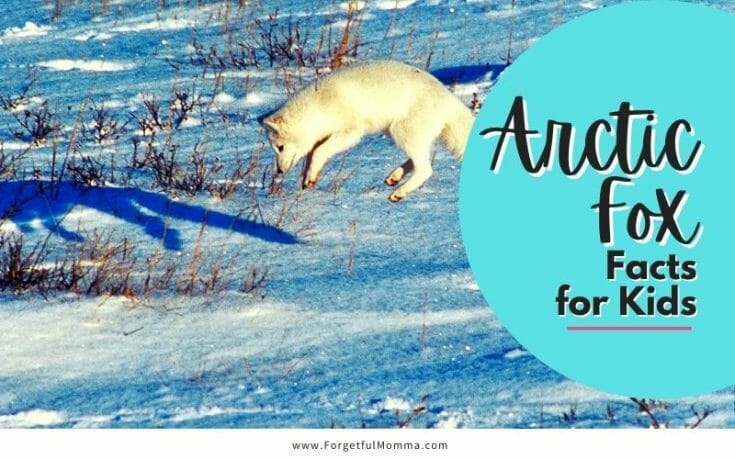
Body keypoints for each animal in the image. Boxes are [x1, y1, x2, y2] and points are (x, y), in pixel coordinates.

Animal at [261, 60, 474, 202]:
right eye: (274, 149)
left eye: (280, 147)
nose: (279, 171)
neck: (319, 108)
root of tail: (448, 97)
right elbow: (313, 154)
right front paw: (309, 178)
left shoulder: (352, 132)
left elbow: (319, 151)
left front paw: (310, 177)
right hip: (403, 135)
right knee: (418, 161)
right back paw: (394, 177)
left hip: (402, 132)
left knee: (426, 169)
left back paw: (398, 193)